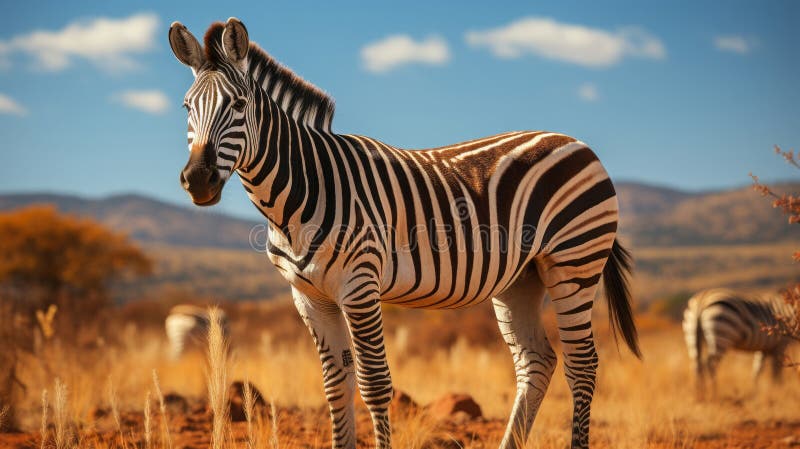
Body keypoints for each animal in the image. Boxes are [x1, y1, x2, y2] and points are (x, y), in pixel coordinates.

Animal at [168, 18, 640, 449]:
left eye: (238, 104)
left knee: (583, 365)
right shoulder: (309, 297)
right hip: (521, 278)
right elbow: (335, 389)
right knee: (536, 362)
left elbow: (375, 386)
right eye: (187, 108)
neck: (296, 196)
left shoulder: (360, 285)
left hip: (574, 262)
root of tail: (575, 142)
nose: (198, 180)